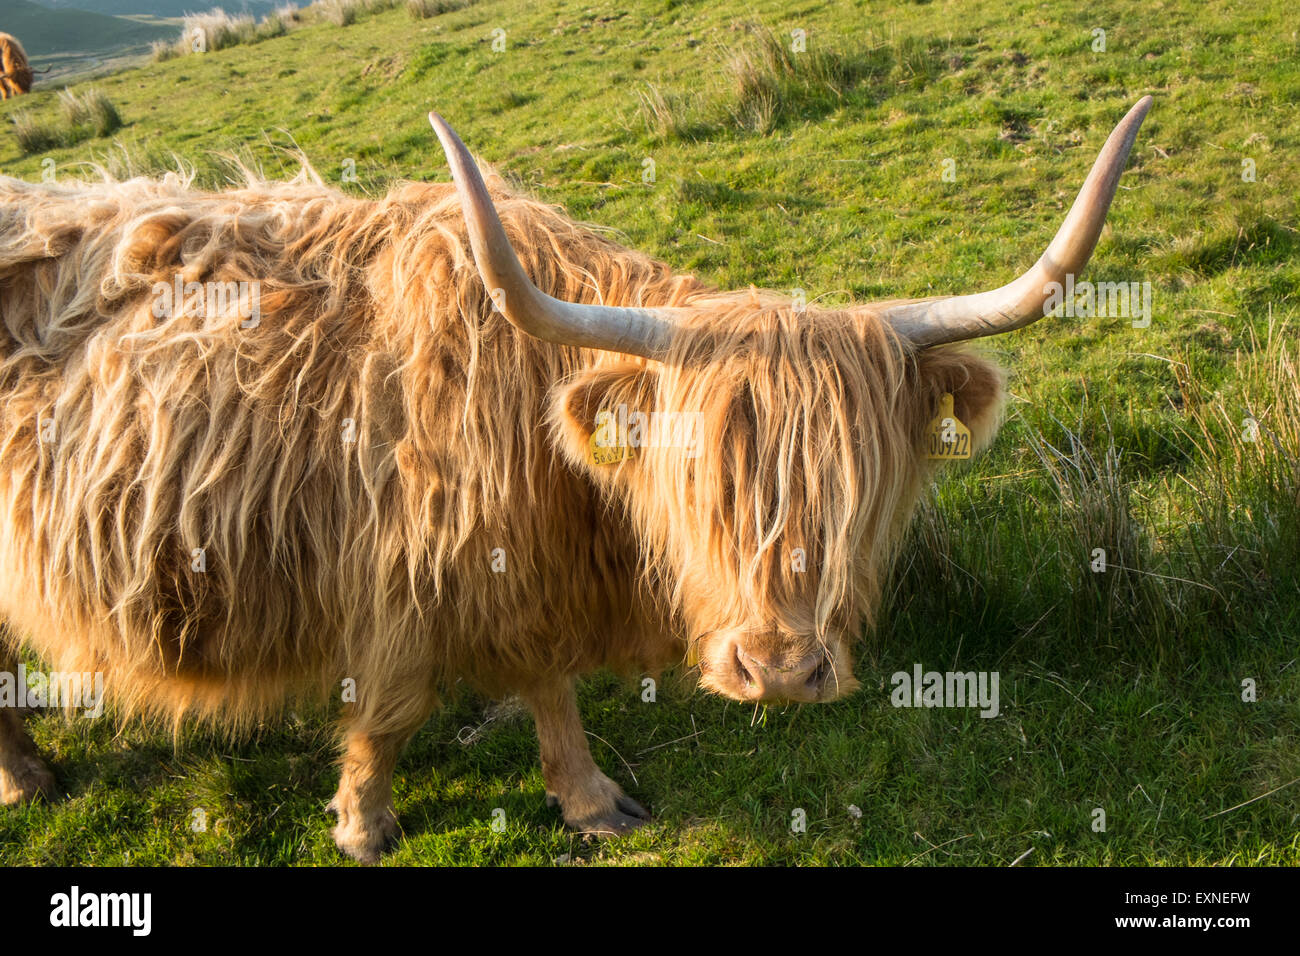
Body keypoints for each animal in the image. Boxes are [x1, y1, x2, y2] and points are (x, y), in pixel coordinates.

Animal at [0, 96, 1151, 861]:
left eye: (856, 483)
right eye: (698, 484)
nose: (780, 670)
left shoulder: (522, 571)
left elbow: (548, 682)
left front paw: (589, 798)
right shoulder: (403, 574)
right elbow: (391, 710)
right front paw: (365, 823)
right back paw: (28, 779)